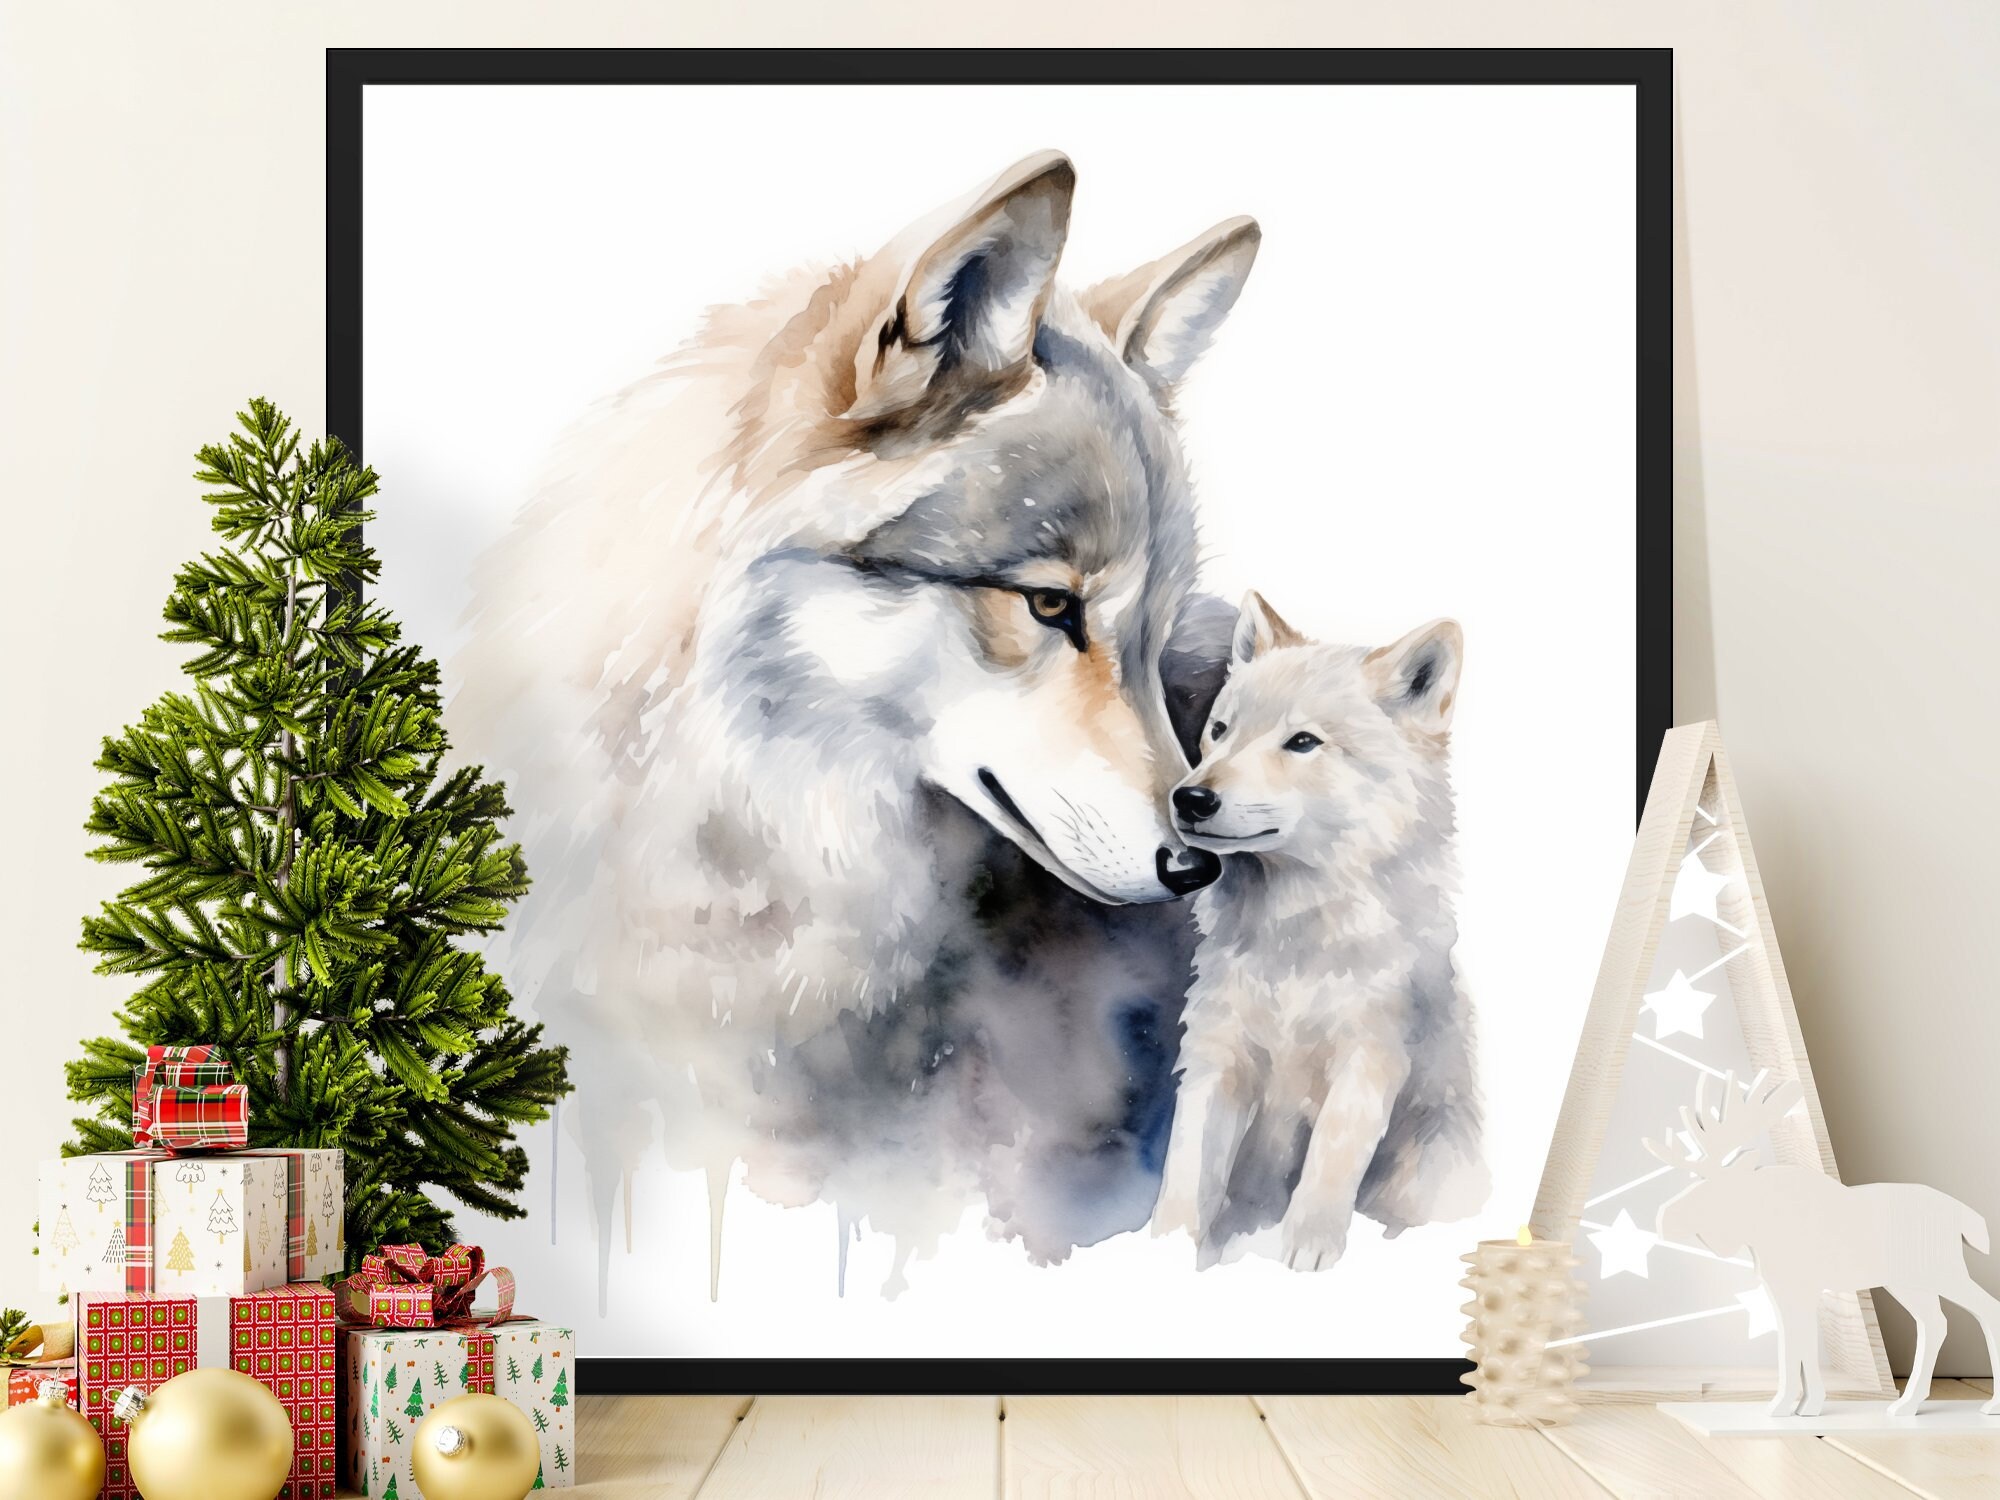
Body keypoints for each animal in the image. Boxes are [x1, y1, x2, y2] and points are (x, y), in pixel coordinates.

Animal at [1153, 593, 1488, 1270]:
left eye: (1303, 742)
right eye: (1220, 731)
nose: (1189, 798)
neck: (1295, 933)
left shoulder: (1368, 1060)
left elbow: (1330, 1162)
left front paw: (1304, 1255)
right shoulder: (1215, 1056)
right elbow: (1188, 1168)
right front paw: (1167, 1253)